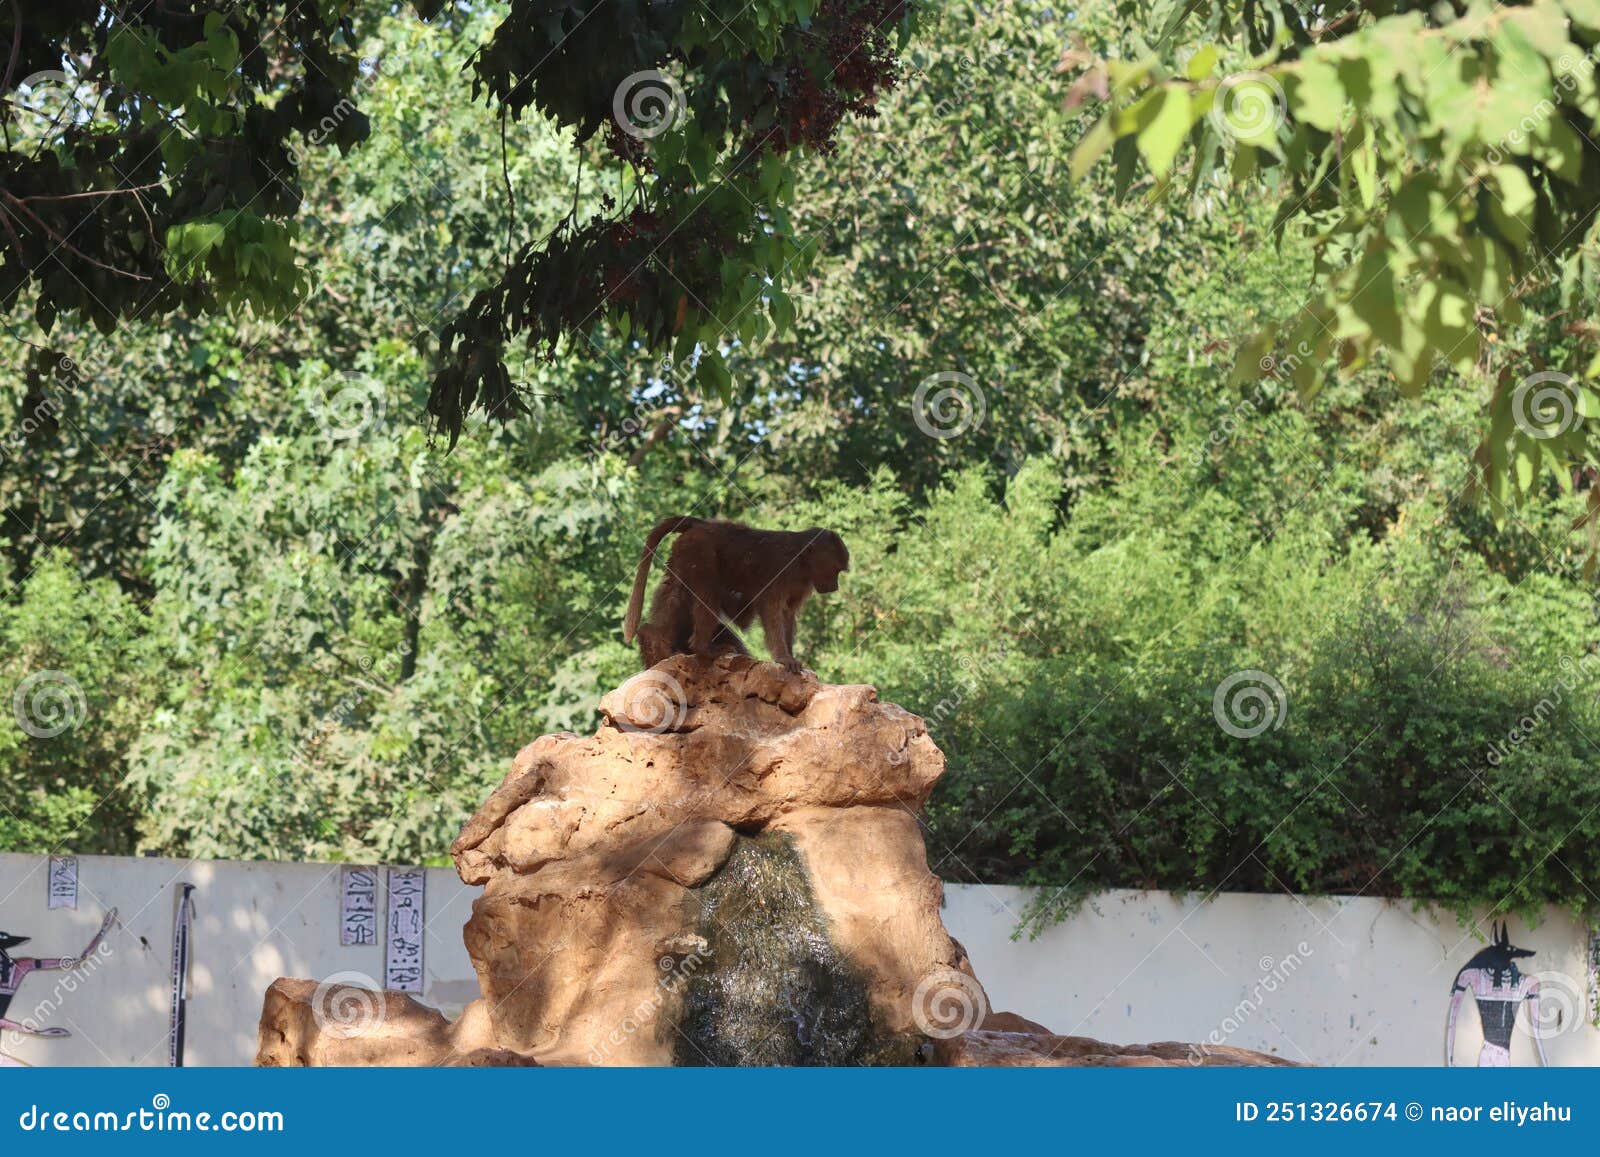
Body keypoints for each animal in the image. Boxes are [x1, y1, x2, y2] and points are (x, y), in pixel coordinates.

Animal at [621, 517, 850, 673]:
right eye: (835, 570)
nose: (834, 586)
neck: (802, 559)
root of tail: (703, 524)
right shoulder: (782, 571)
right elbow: (772, 610)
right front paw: (783, 658)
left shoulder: (803, 583)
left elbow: (787, 613)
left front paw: (790, 656)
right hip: (699, 551)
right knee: (707, 592)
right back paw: (701, 648)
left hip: (683, 553)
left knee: (675, 591)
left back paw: (654, 638)